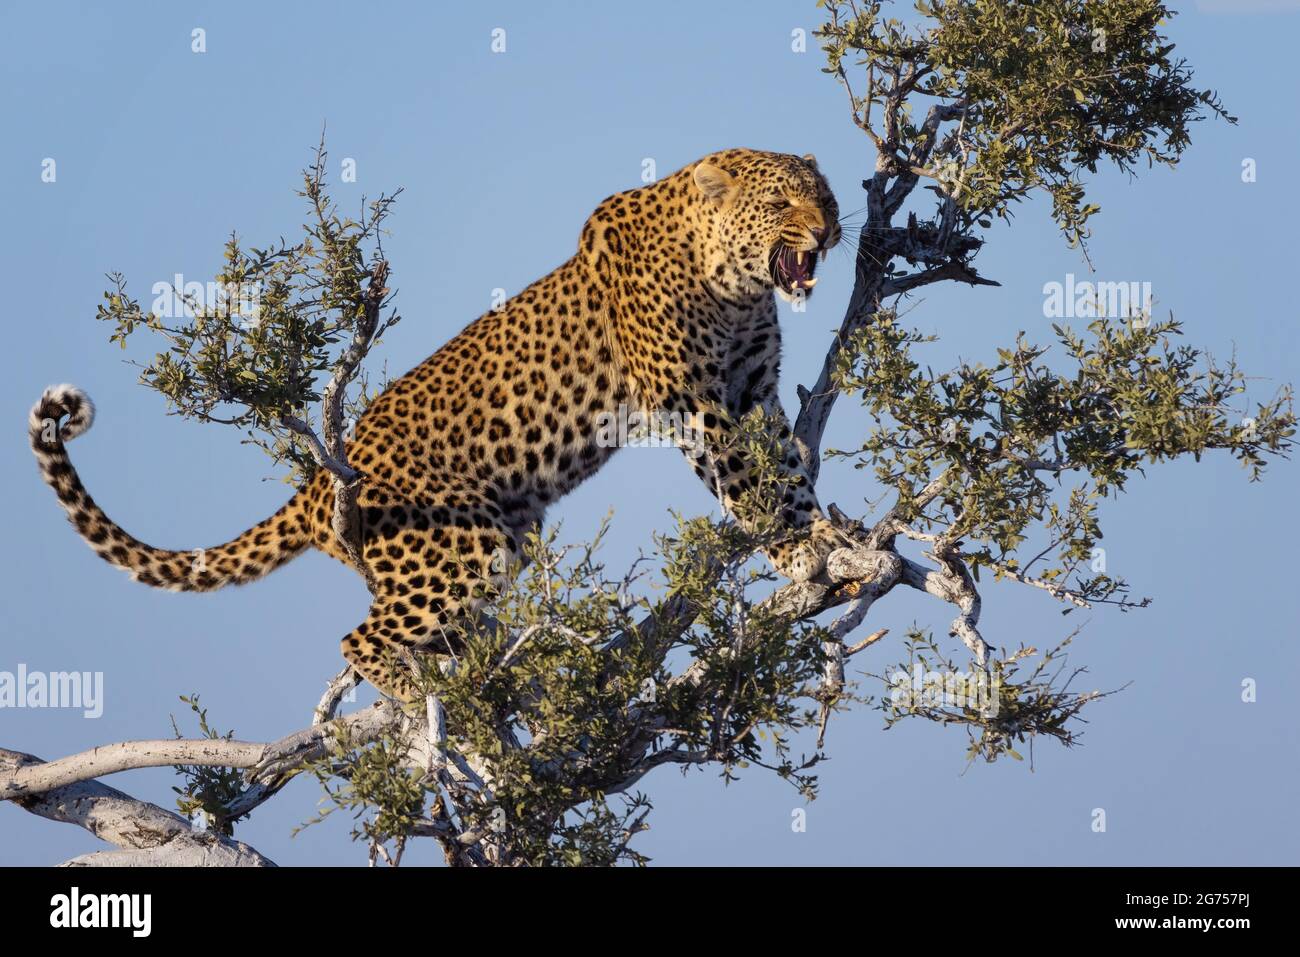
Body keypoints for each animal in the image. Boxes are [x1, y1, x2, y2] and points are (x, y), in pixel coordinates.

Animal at [29, 148, 843, 703]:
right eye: (781, 204)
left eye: (828, 196)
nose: (830, 231)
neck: (732, 284)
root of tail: (324, 478)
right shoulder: (695, 403)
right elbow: (744, 482)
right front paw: (797, 551)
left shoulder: (753, 393)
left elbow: (785, 469)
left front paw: (833, 538)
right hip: (456, 544)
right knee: (359, 636)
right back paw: (429, 693)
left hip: (504, 537)